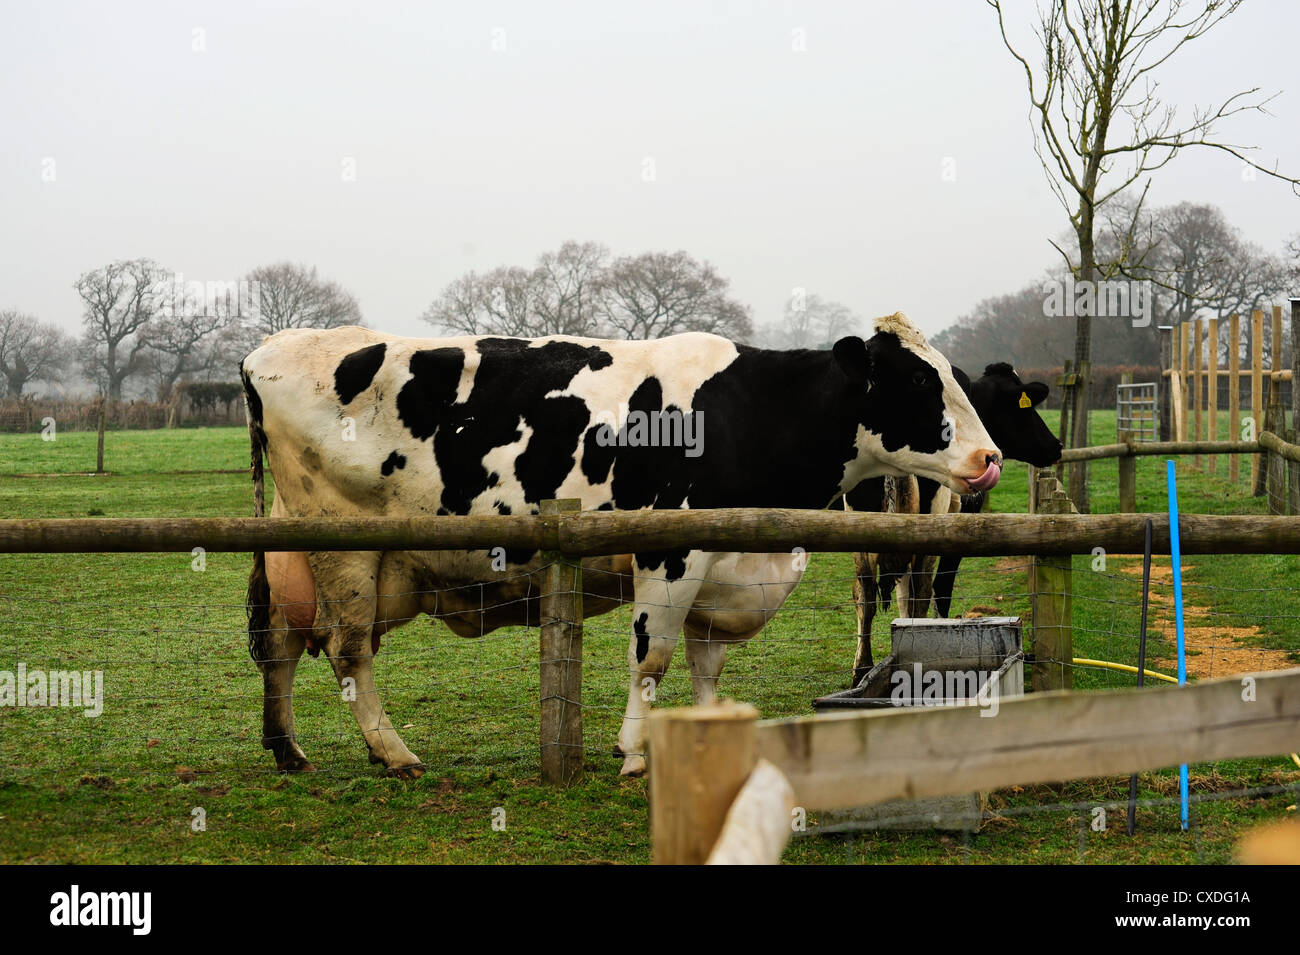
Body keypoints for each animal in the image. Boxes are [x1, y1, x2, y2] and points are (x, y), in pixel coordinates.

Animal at [240, 311, 1002, 778]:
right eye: (918, 379)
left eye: (953, 374)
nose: (990, 458)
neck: (746, 409)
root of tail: (267, 348)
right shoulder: (668, 553)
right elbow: (653, 656)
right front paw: (633, 753)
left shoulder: (722, 565)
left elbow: (705, 664)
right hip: (345, 548)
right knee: (348, 650)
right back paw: (393, 752)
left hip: (291, 546)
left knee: (280, 641)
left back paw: (287, 750)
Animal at [846, 362, 1061, 685]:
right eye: (1026, 409)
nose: (1056, 446)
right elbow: (941, 586)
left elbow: (901, 594)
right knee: (922, 590)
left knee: (866, 594)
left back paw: (862, 668)